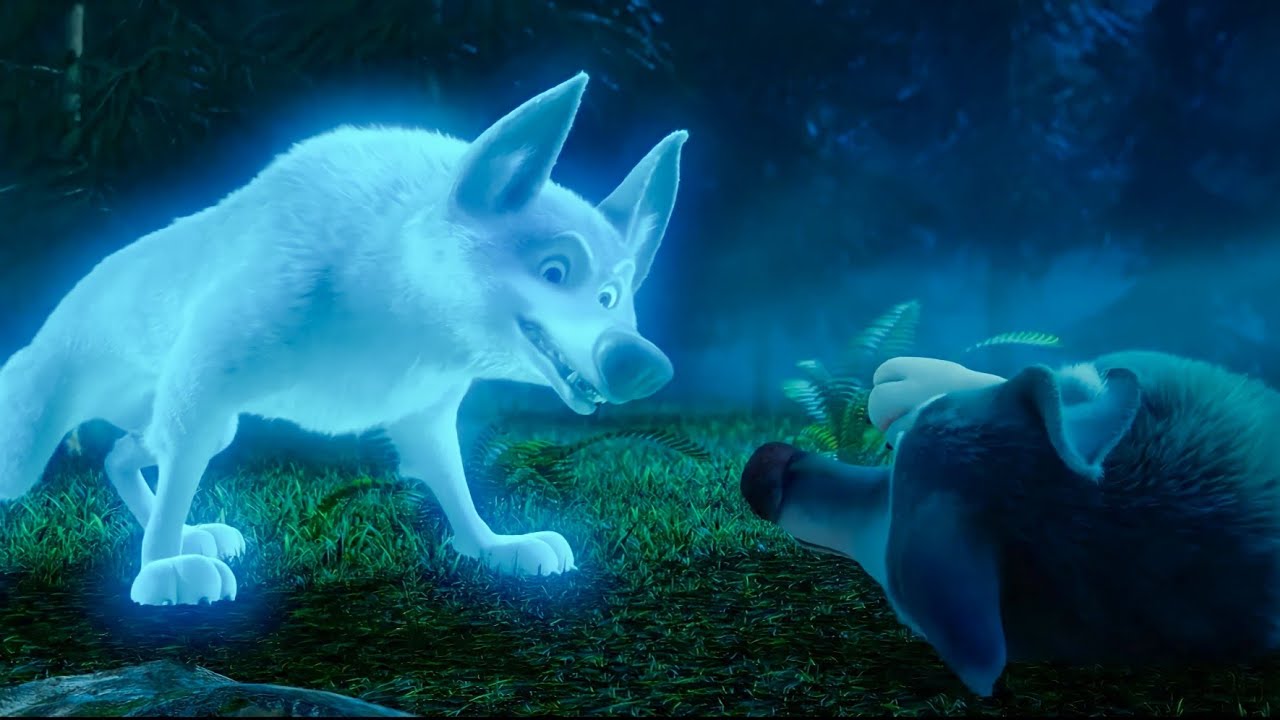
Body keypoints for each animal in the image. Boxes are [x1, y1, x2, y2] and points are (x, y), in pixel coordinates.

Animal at [0, 72, 688, 606]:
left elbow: (447, 474)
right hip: (46, 418)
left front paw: (494, 546)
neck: (406, 296)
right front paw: (163, 571)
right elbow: (182, 461)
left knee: (123, 453)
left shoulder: (424, 408)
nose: (644, 364)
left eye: (616, 296)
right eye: (555, 272)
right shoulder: (208, 372)